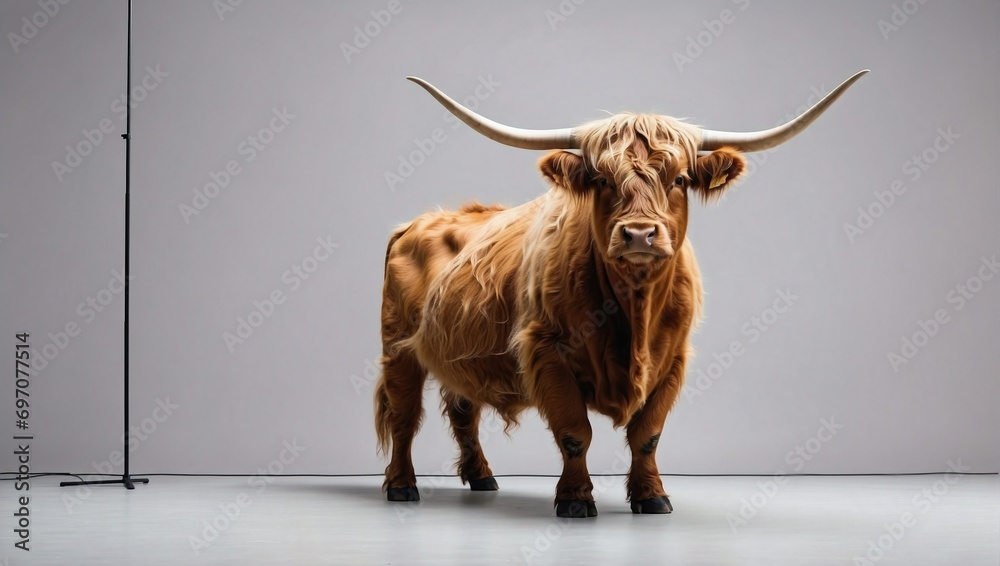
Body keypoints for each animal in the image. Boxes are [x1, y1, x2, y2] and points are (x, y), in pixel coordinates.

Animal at [374, 70, 867, 517]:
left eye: (679, 179)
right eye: (602, 180)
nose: (639, 234)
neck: (634, 310)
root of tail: (419, 220)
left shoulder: (673, 359)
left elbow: (647, 434)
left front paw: (652, 497)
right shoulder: (547, 350)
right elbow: (575, 432)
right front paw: (575, 499)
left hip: (458, 353)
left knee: (463, 410)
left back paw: (482, 478)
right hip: (398, 349)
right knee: (403, 416)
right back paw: (402, 486)